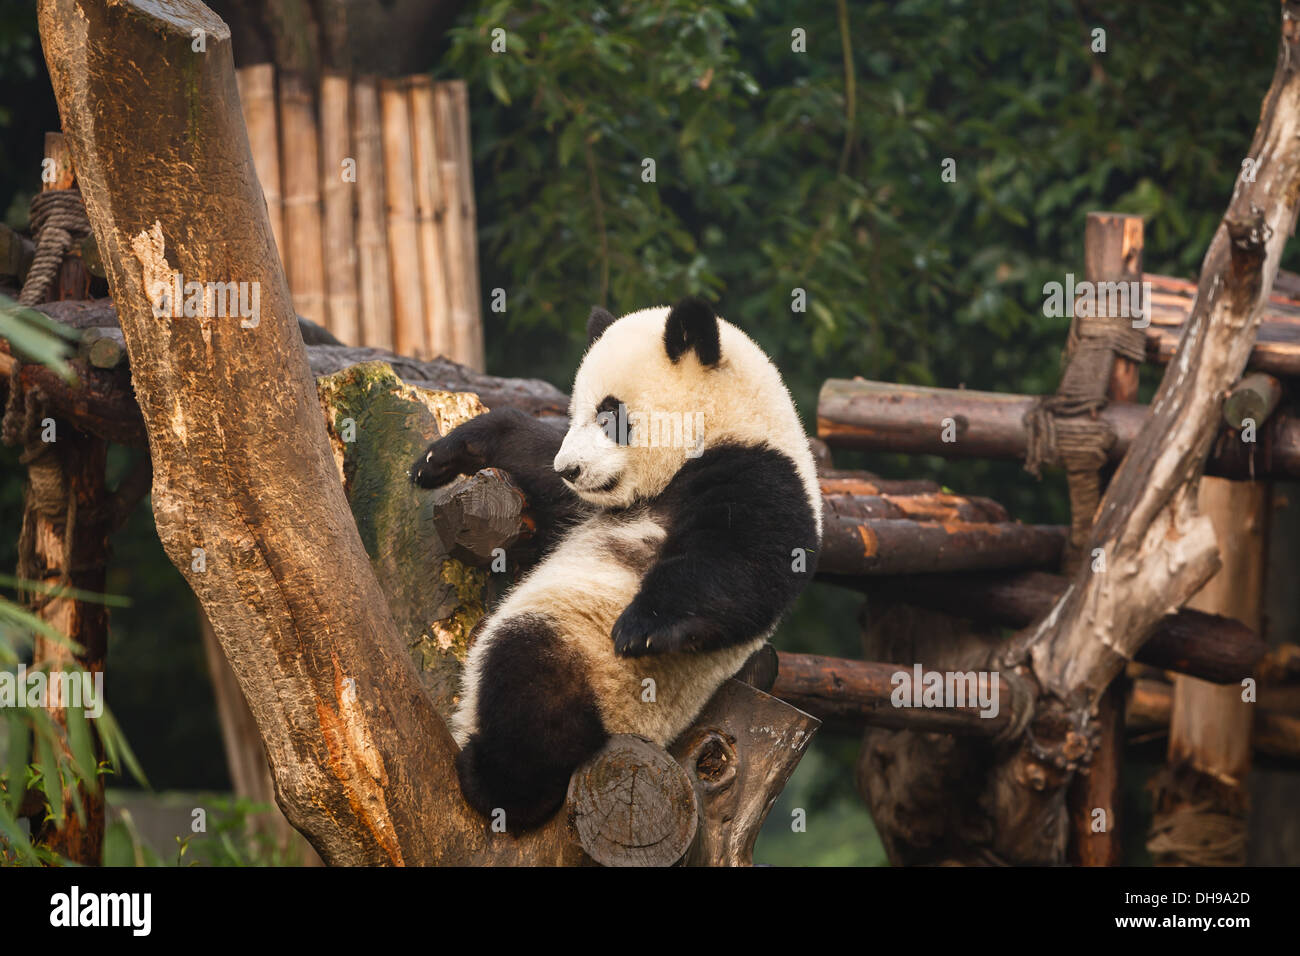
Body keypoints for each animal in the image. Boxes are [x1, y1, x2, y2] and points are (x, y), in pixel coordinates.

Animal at [411, 296, 822, 829]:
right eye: (575, 414)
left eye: (611, 415)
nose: (571, 468)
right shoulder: (585, 500)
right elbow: (534, 458)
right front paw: (442, 455)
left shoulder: (762, 474)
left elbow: (746, 564)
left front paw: (643, 628)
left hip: (593, 665)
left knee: (530, 693)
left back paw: (495, 784)